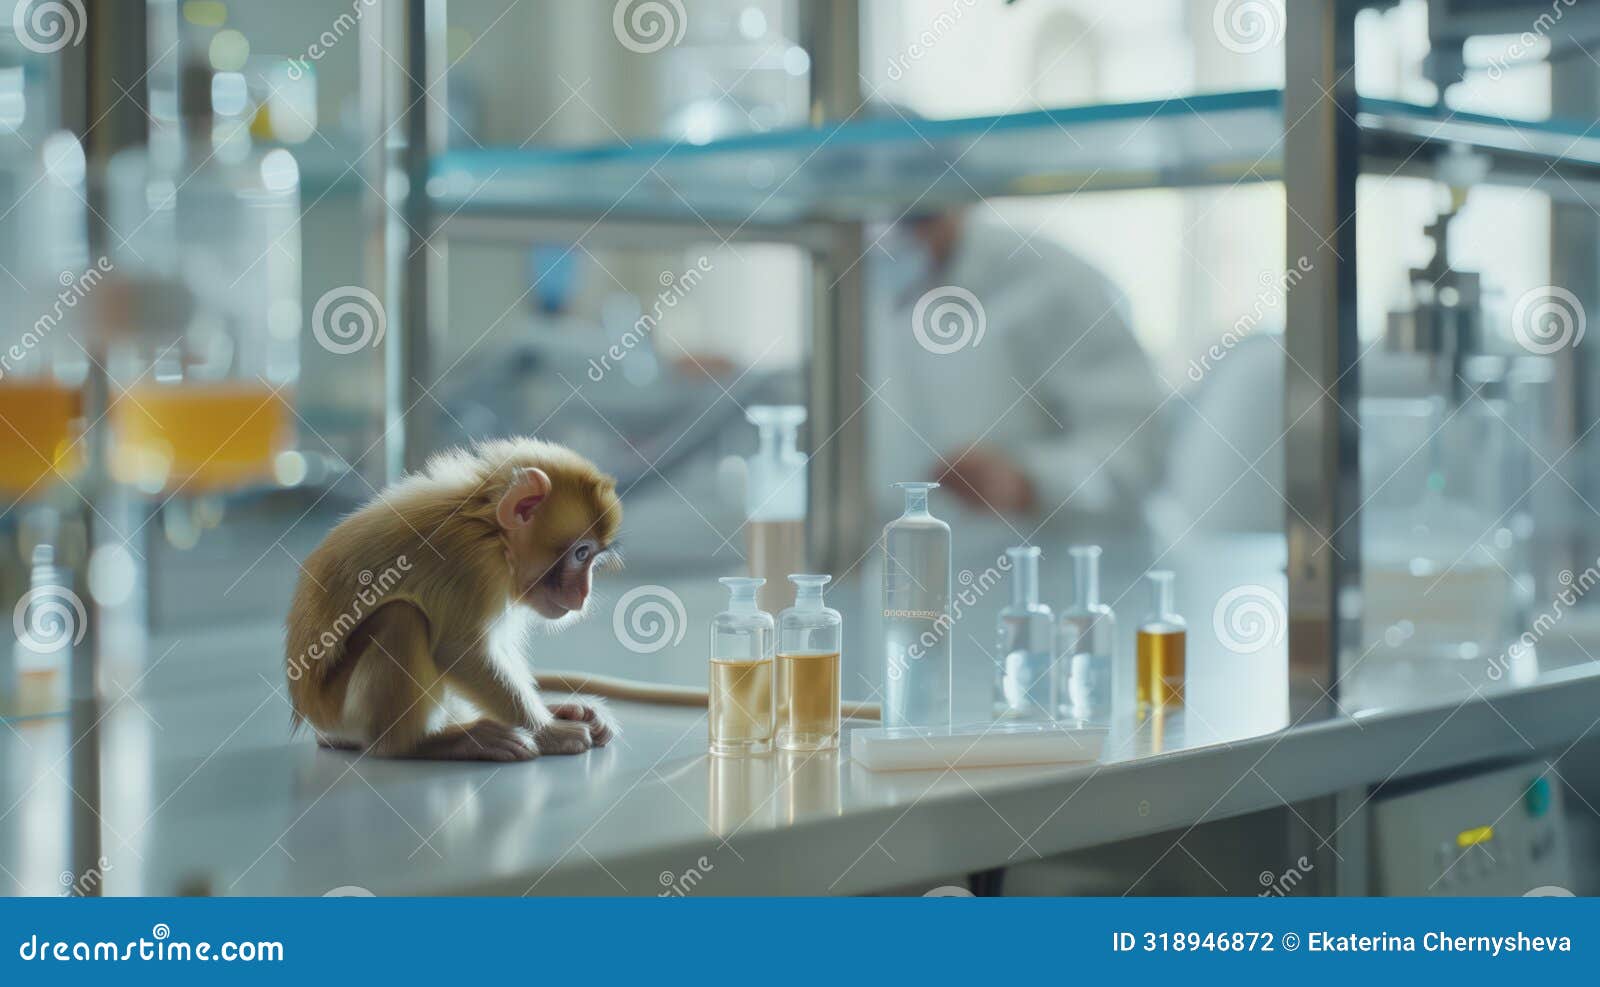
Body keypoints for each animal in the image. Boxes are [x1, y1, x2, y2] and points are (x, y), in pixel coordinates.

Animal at [285, 437, 624, 762]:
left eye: (592, 558)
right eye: (581, 553)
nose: (583, 593)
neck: (489, 530)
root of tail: (315, 720)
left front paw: (558, 711)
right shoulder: (472, 565)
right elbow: (458, 651)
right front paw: (548, 731)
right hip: (338, 711)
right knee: (401, 616)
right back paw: (421, 743)